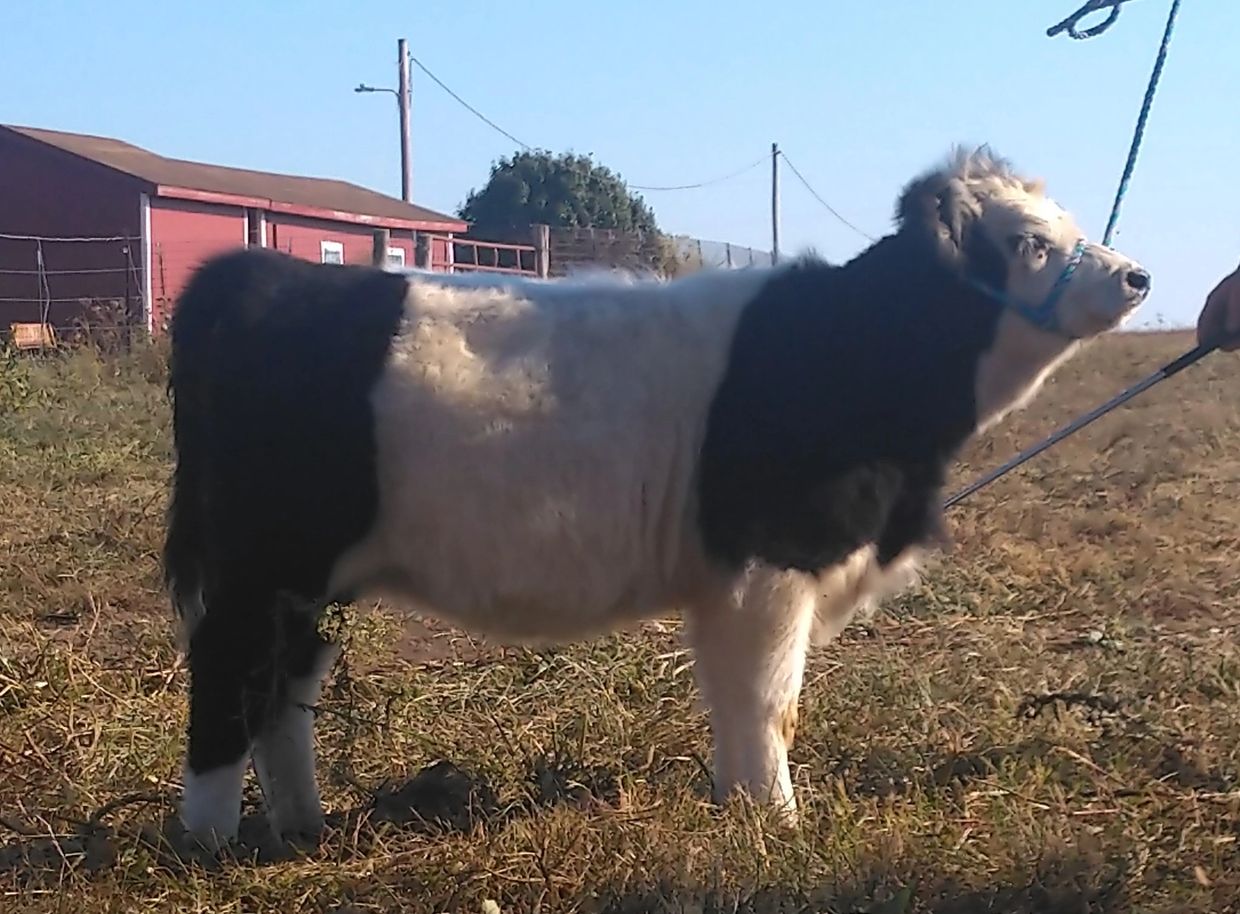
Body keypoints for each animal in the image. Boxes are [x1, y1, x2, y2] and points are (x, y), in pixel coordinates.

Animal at [162, 146, 1151, 848]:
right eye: (1027, 241)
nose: (1134, 275)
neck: (847, 349)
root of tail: (264, 276)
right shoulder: (767, 565)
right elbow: (770, 699)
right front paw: (777, 820)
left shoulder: (733, 579)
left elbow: (738, 699)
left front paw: (743, 807)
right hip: (259, 562)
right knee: (229, 670)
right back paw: (209, 840)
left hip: (310, 577)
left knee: (284, 687)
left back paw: (301, 825)